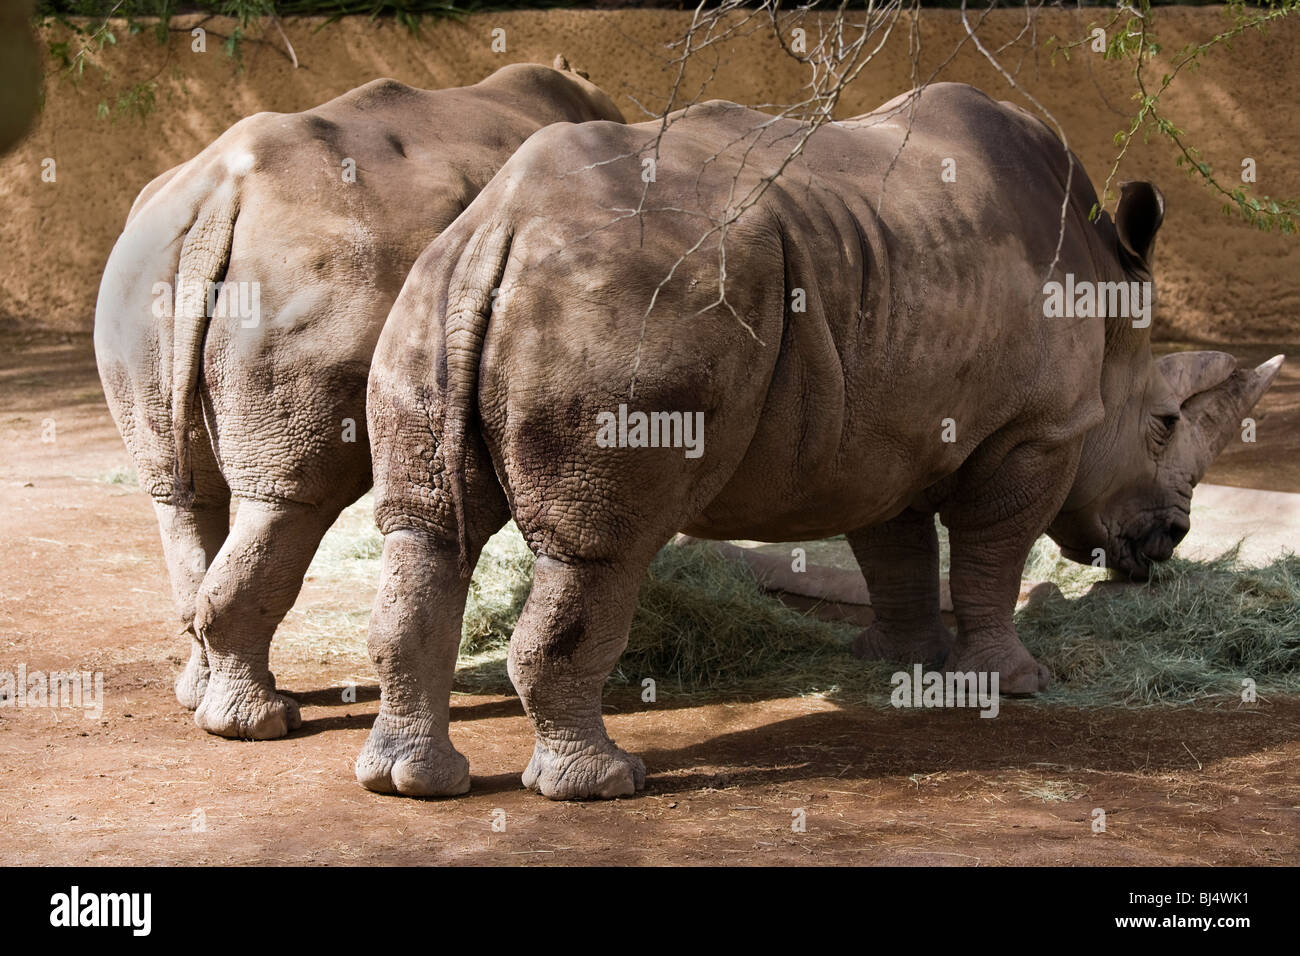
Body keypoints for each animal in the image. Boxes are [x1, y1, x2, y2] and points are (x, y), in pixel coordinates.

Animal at [94, 61, 623, 740]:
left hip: (142, 273)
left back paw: (204, 701)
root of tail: (216, 198)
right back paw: (263, 724)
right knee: (292, 496)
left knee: (184, 497)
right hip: (313, 270)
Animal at [362, 82, 1282, 800]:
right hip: (623, 302)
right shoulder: (1038, 430)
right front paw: (1013, 683)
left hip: (435, 289)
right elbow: (992, 553)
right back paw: (604, 785)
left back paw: (412, 782)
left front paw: (901, 661)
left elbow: (896, 550)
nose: (1169, 539)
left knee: (425, 532)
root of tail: (504, 228)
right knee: (602, 549)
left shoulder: (886, 427)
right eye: (1164, 425)